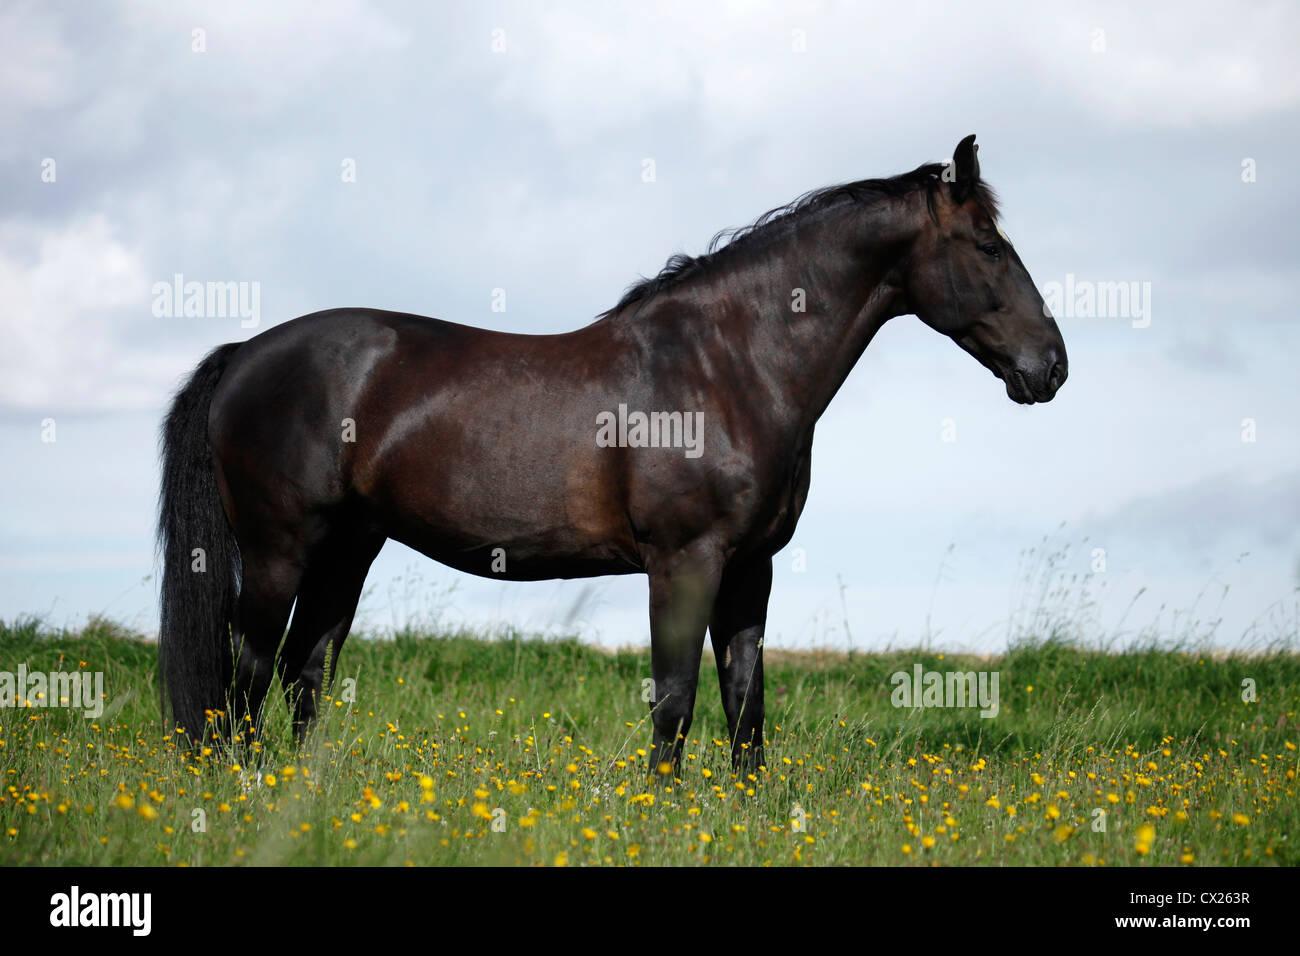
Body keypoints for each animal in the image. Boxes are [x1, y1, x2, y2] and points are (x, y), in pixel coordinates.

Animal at [157, 134, 1067, 773]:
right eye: (989, 246)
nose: (1051, 366)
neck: (727, 365)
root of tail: (246, 354)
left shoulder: (751, 566)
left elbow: (746, 703)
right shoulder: (684, 561)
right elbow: (676, 700)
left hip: (348, 548)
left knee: (303, 673)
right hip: (278, 550)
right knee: (247, 677)